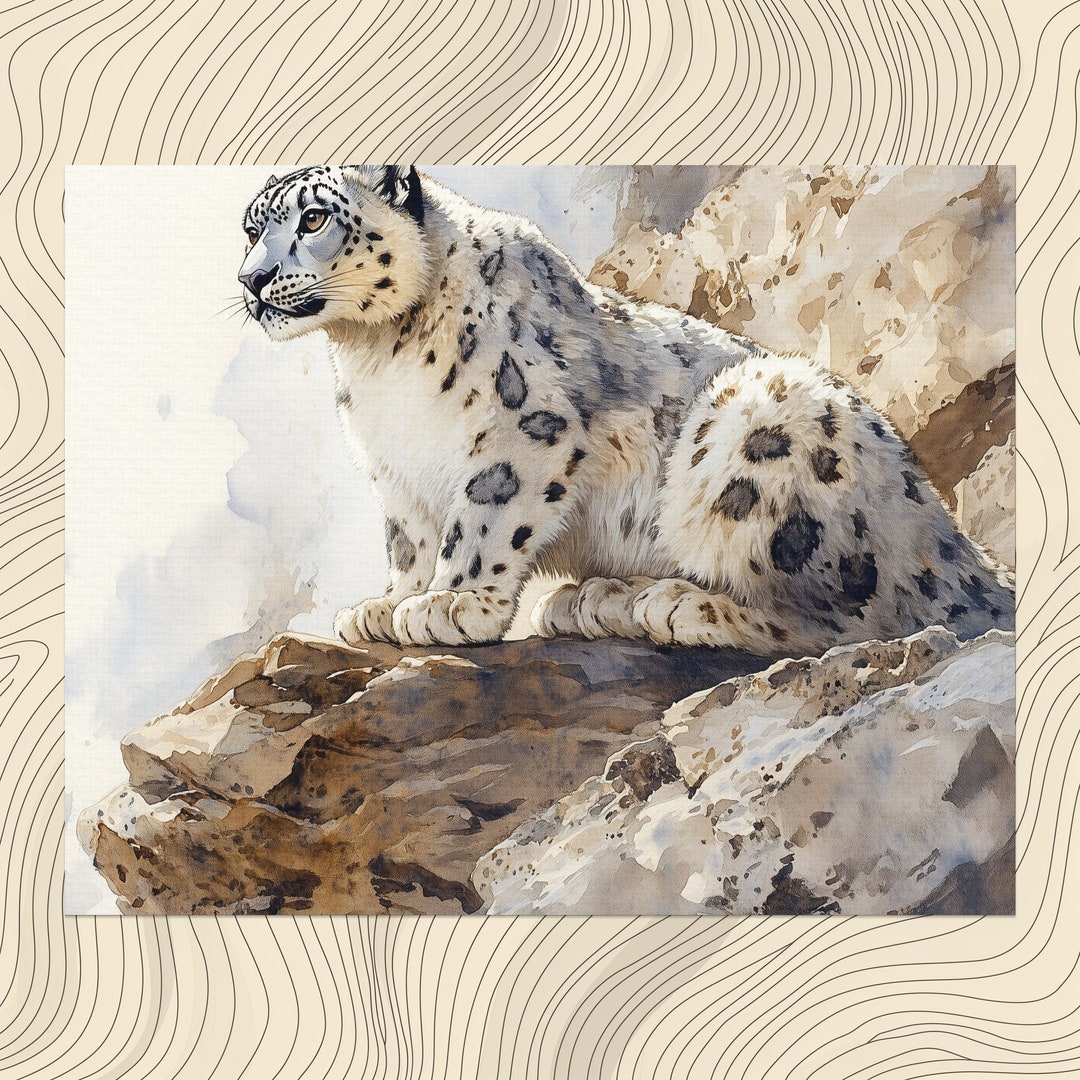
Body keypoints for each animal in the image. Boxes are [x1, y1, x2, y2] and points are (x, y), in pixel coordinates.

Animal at [238, 165, 1014, 655]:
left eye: (314, 218)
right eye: (251, 230)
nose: (251, 279)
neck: (373, 357)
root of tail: (958, 547)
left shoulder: (522, 431)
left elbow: (482, 520)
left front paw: (451, 604)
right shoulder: (397, 471)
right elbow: (410, 539)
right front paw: (385, 603)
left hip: (766, 426)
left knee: (861, 619)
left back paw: (681, 605)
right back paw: (598, 599)